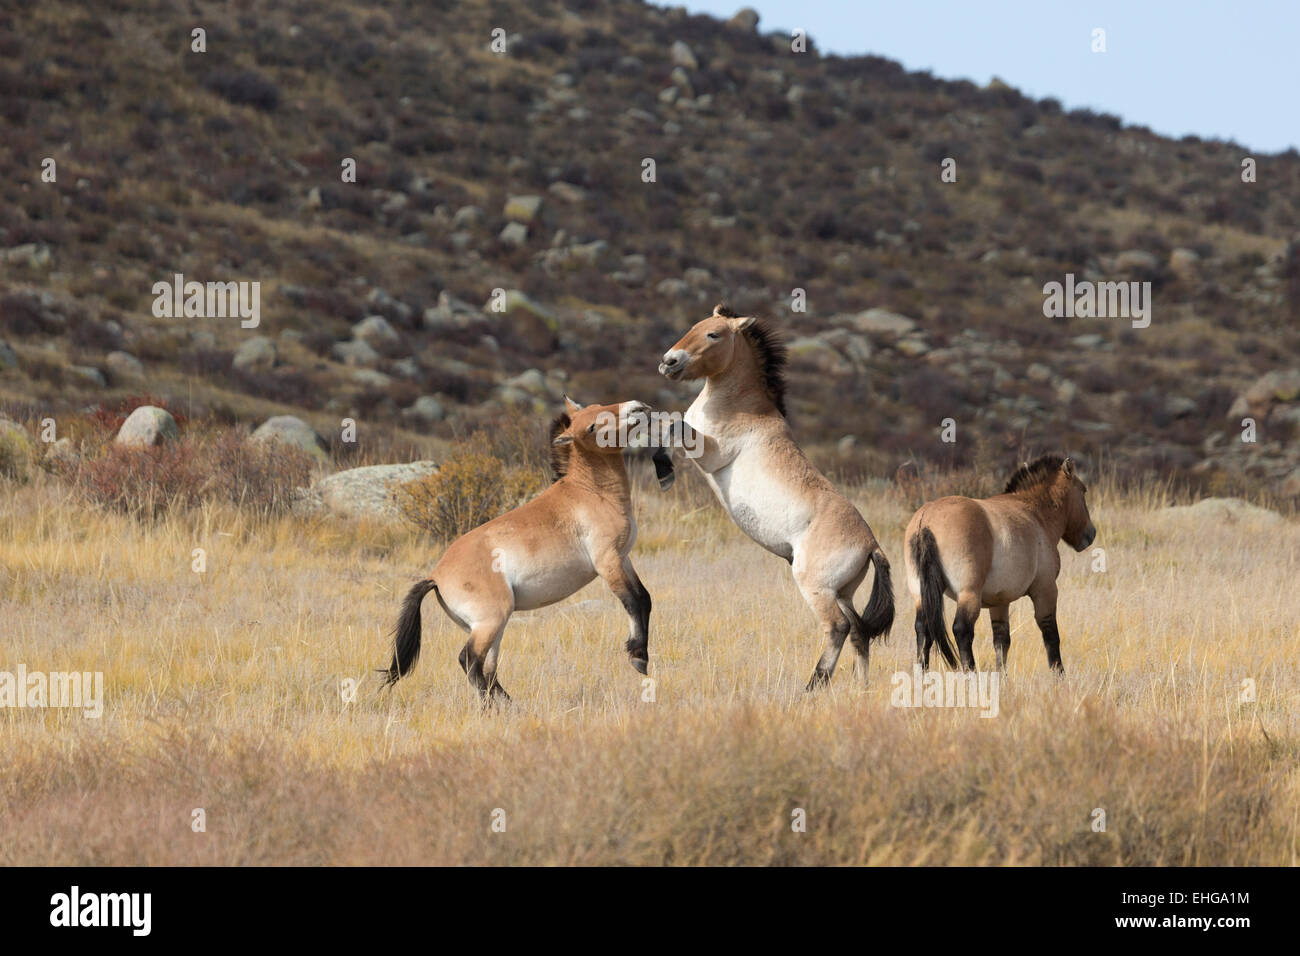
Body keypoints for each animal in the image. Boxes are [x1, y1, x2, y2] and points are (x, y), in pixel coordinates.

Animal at [381, 397, 658, 703]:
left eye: (598, 405)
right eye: (592, 426)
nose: (638, 408)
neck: (590, 492)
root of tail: (435, 576)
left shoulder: (624, 558)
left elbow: (645, 598)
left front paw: (641, 655)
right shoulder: (608, 562)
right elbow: (632, 601)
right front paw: (637, 657)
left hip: (494, 626)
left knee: (488, 669)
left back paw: (509, 705)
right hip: (491, 622)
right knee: (470, 660)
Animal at [658, 303, 894, 690]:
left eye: (714, 334)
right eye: (695, 326)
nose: (669, 362)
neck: (737, 406)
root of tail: (871, 545)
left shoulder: (710, 455)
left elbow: (671, 423)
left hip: (816, 590)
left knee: (838, 627)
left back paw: (812, 687)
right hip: (841, 593)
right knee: (860, 632)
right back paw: (861, 687)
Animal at [903, 454, 1096, 674]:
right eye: (1083, 490)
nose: (1090, 534)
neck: (1036, 515)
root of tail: (926, 520)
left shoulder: (1000, 601)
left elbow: (1001, 642)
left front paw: (1001, 676)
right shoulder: (1045, 590)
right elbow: (1051, 635)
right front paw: (1059, 674)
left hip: (920, 595)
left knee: (923, 630)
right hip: (968, 594)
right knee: (961, 630)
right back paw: (971, 673)